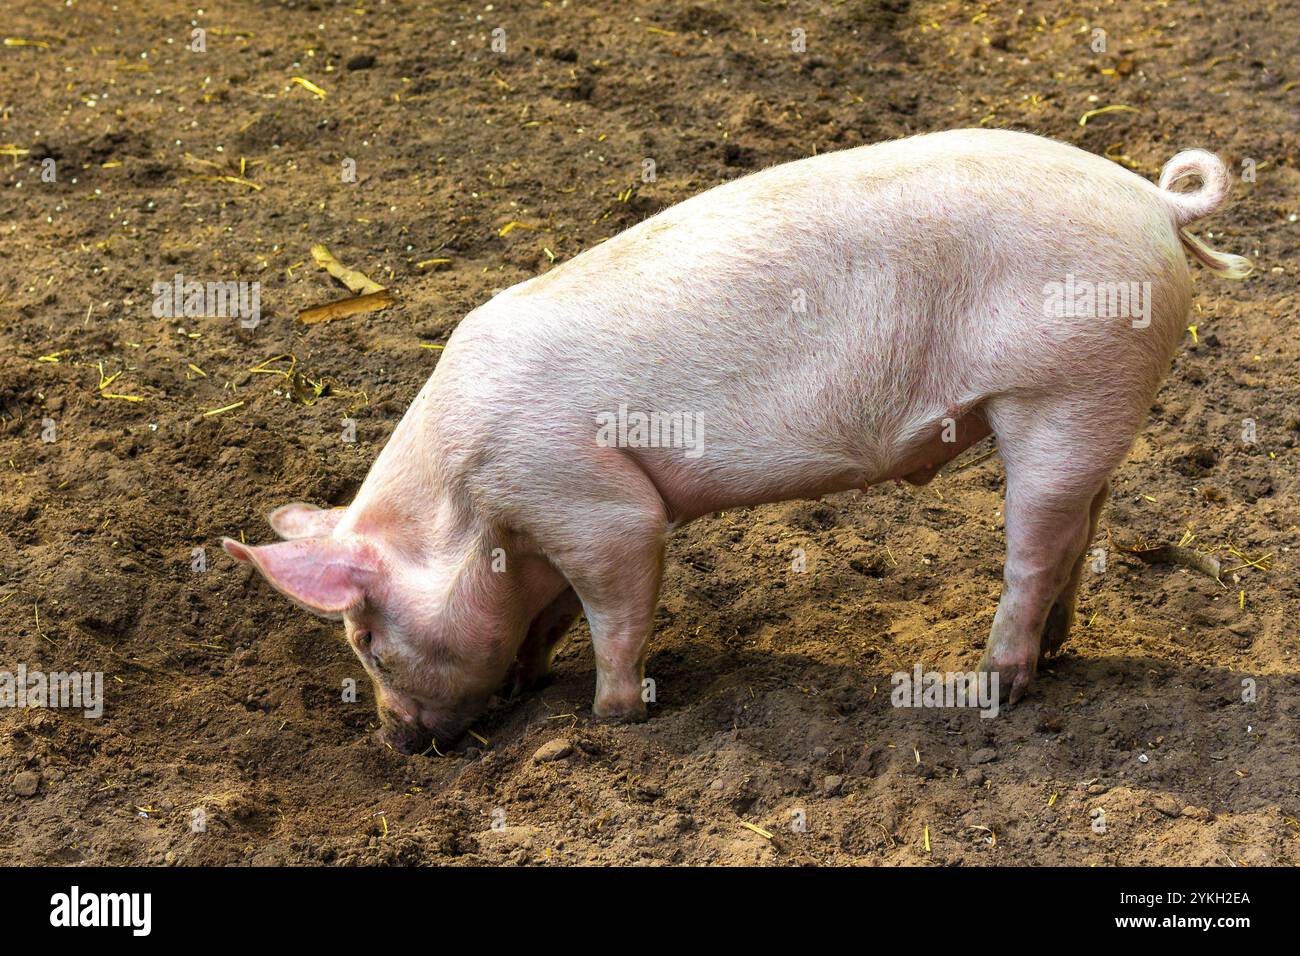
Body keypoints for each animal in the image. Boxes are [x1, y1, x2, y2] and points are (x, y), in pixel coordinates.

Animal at [224, 128, 1250, 754]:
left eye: (368, 640)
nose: (397, 742)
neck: (474, 513)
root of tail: (1155, 203)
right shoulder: (545, 527)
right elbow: (550, 614)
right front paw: (527, 682)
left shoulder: (593, 501)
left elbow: (617, 607)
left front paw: (610, 719)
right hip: (1096, 404)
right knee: (1082, 528)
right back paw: (1057, 654)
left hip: (1064, 388)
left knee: (1035, 550)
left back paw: (989, 688)